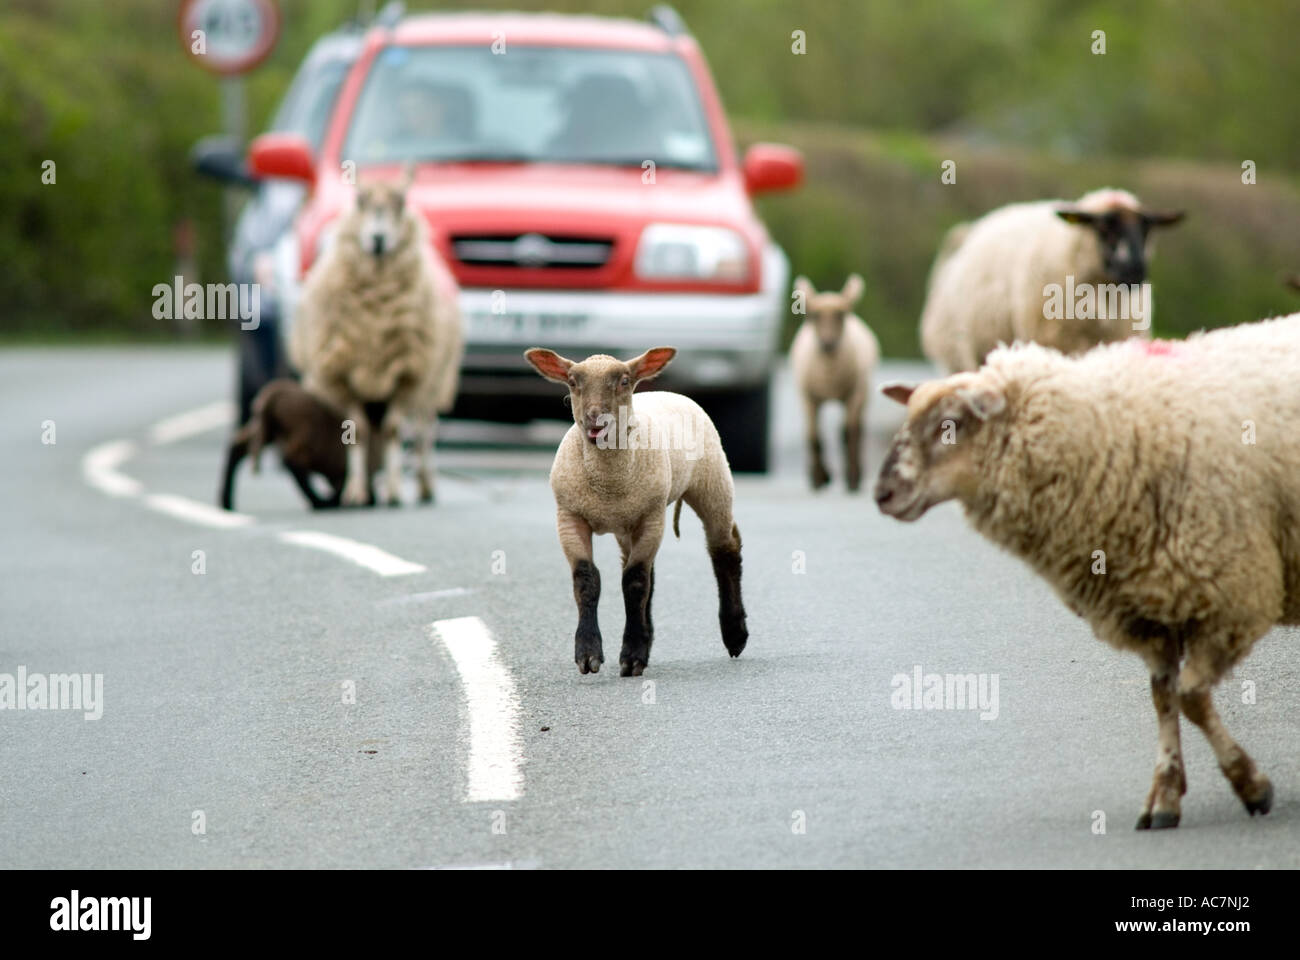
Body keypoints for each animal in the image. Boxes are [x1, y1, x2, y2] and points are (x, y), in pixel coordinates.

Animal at [522, 343, 748, 671]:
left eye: (624, 381)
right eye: (573, 382)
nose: (595, 420)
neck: (608, 484)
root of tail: (667, 392)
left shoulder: (651, 517)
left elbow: (635, 582)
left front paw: (631, 656)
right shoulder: (570, 516)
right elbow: (587, 580)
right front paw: (589, 654)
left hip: (712, 481)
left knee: (724, 549)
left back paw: (735, 635)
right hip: (627, 521)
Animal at [785, 273, 878, 489]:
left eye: (841, 315)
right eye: (813, 316)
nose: (827, 344)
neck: (830, 376)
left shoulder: (855, 393)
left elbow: (848, 433)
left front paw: (851, 478)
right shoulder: (808, 397)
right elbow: (814, 437)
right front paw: (818, 478)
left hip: (863, 392)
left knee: (856, 430)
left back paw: (856, 471)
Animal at [873, 312, 1300, 822]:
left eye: (950, 424)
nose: (882, 494)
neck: (1107, 434)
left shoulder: (1231, 593)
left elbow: (1190, 698)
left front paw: (1250, 785)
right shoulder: (1147, 605)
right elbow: (1163, 698)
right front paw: (1165, 796)